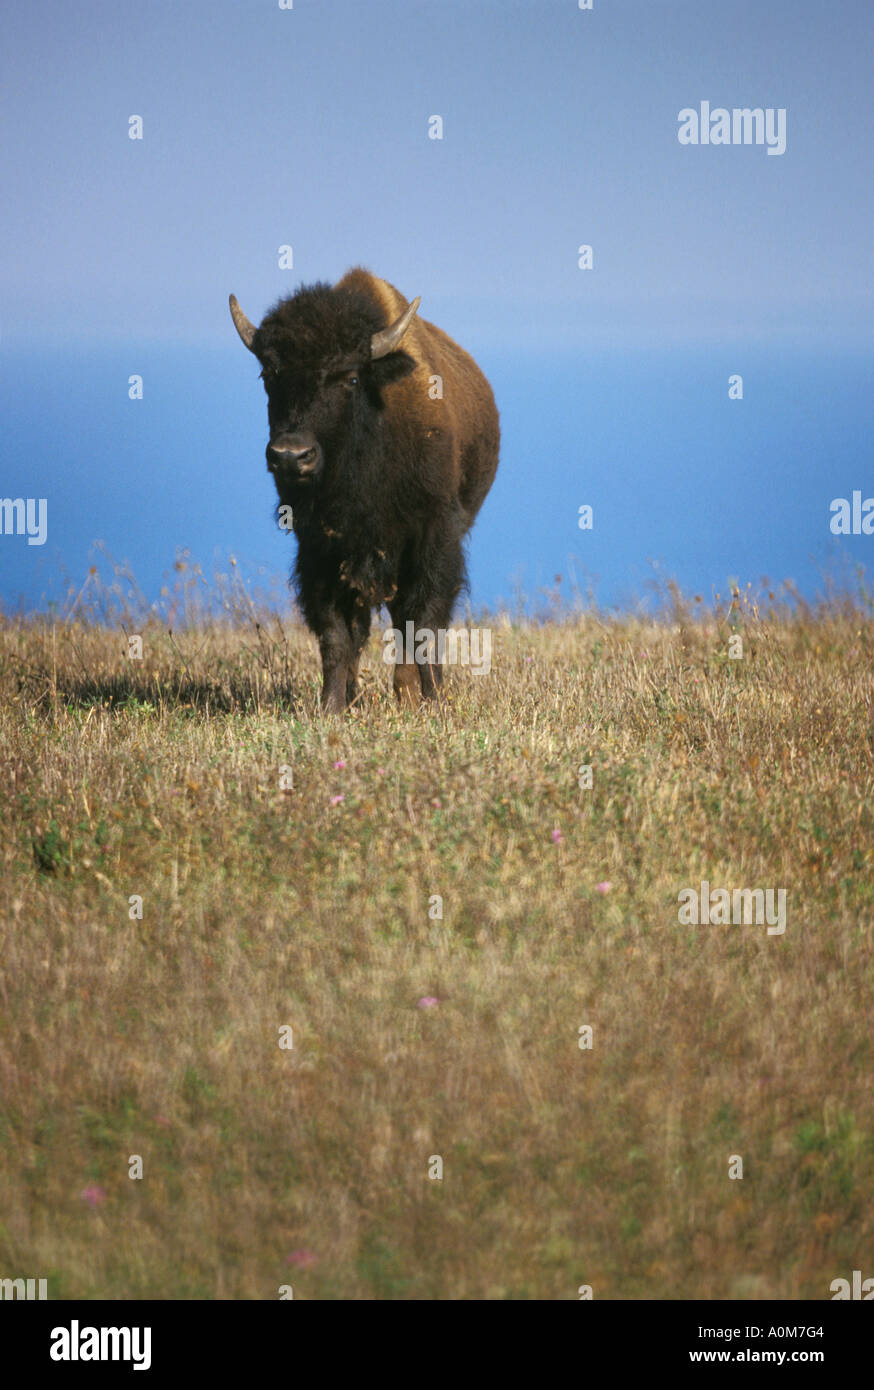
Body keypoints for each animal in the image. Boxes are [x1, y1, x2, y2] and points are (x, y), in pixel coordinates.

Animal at [229, 268, 499, 711]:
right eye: (269, 374)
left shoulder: (433, 537)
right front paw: (331, 707)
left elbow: (425, 624)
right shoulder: (319, 549)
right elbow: (337, 634)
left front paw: (435, 703)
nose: (291, 456)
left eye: (351, 377)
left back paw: (409, 694)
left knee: (407, 621)